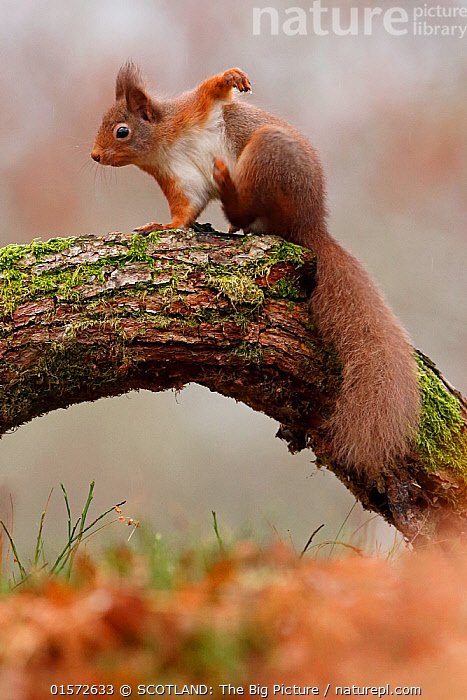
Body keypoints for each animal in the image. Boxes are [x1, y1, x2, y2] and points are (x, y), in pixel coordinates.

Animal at [91, 63, 421, 479]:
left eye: (122, 130)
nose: (94, 155)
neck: (164, 145)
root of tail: (310, 223)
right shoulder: (182, 181)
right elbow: (184, 214)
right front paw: (160, 227)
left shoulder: (194, 111)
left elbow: (212, 92)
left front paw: (231, 78)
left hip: (270, 152)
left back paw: (230, 188)